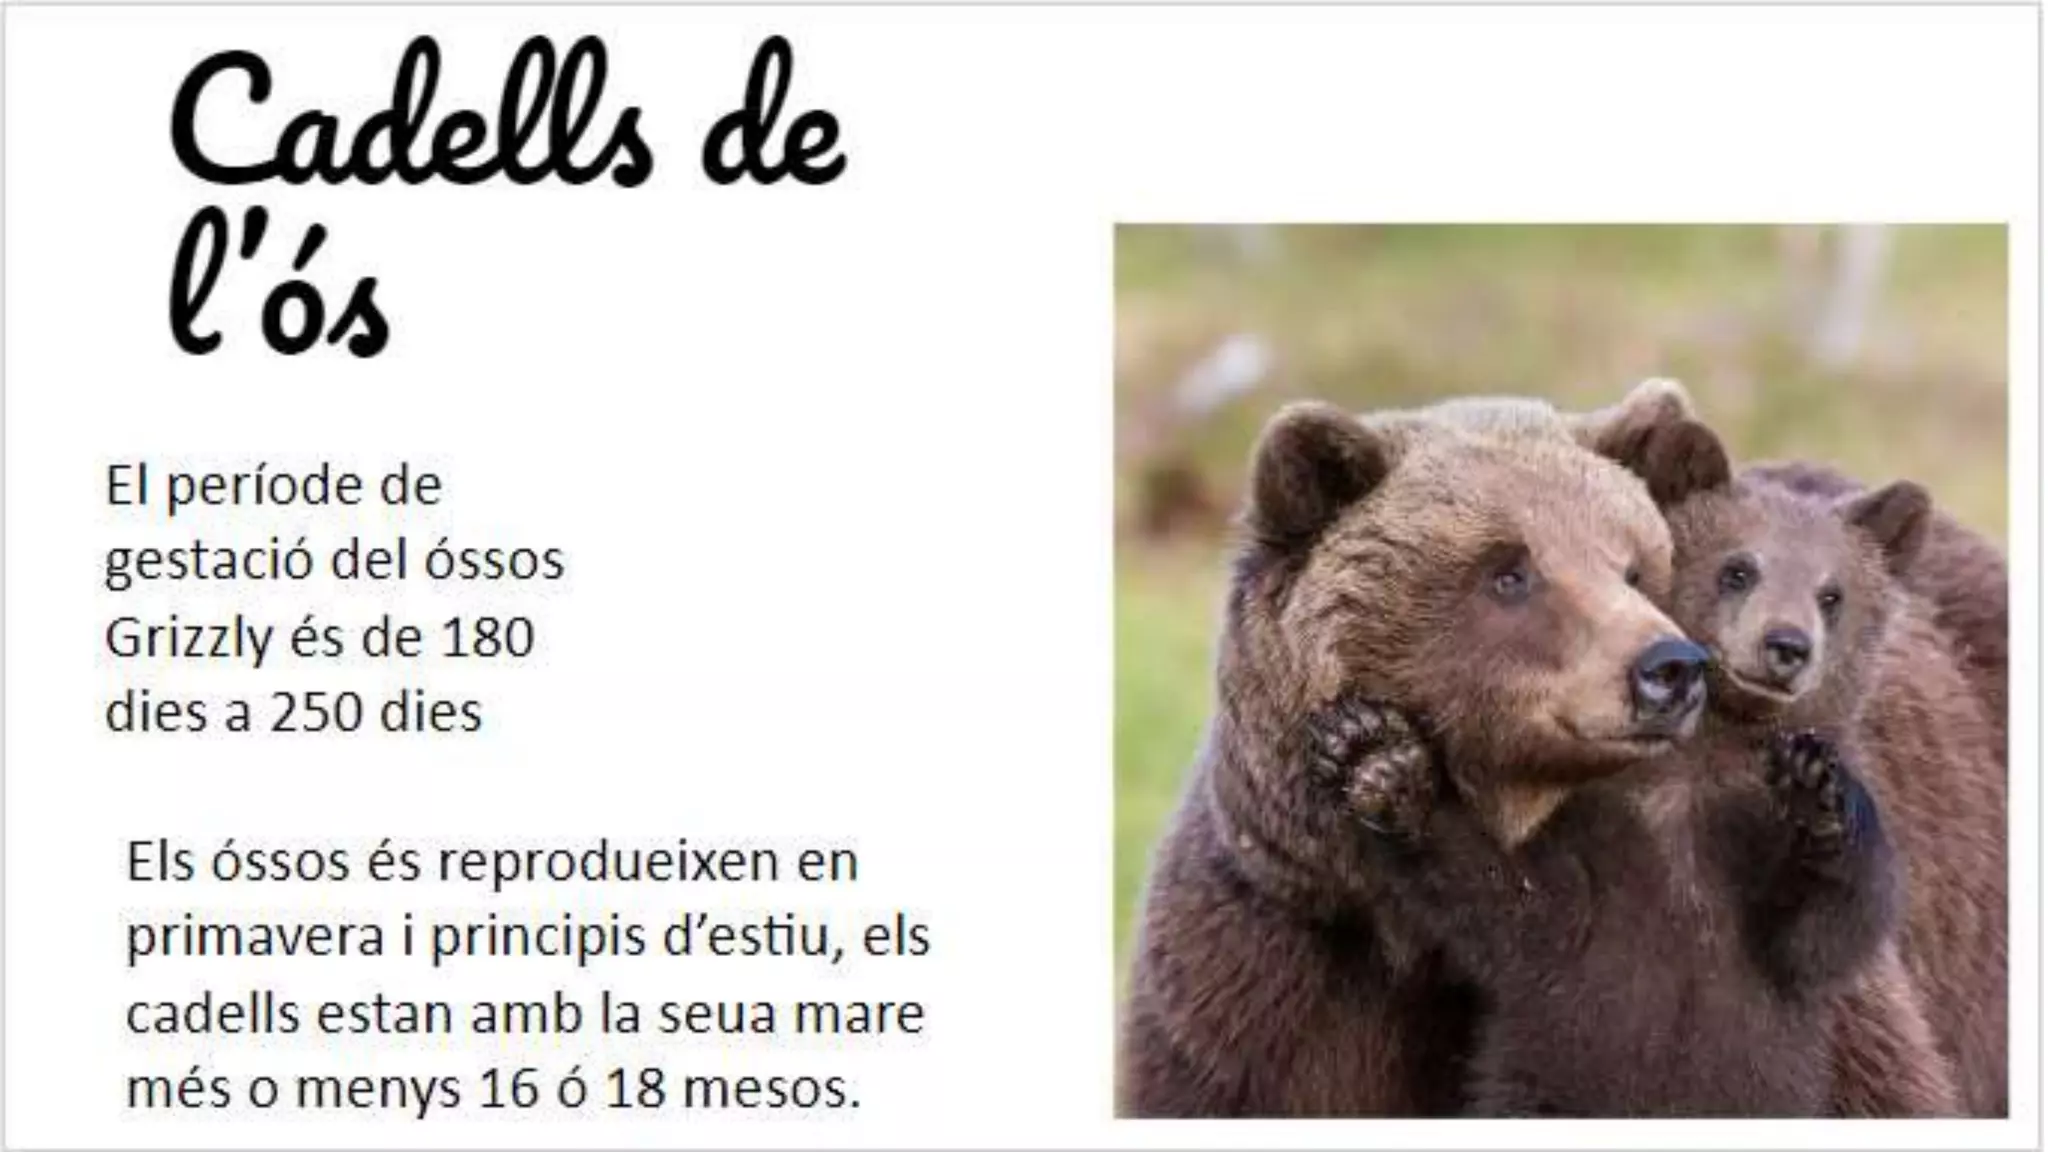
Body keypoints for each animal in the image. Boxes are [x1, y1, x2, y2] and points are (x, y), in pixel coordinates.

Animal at [1317, 444, 1940, 1115]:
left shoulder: (1753, 879)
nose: (1787, 646)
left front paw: (1817, 786)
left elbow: (1825, 927)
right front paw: (1382, 760)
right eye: (1738, 570)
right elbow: (1516, 903)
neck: (1697, 767)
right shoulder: (1598, 846)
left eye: (1832, 595)